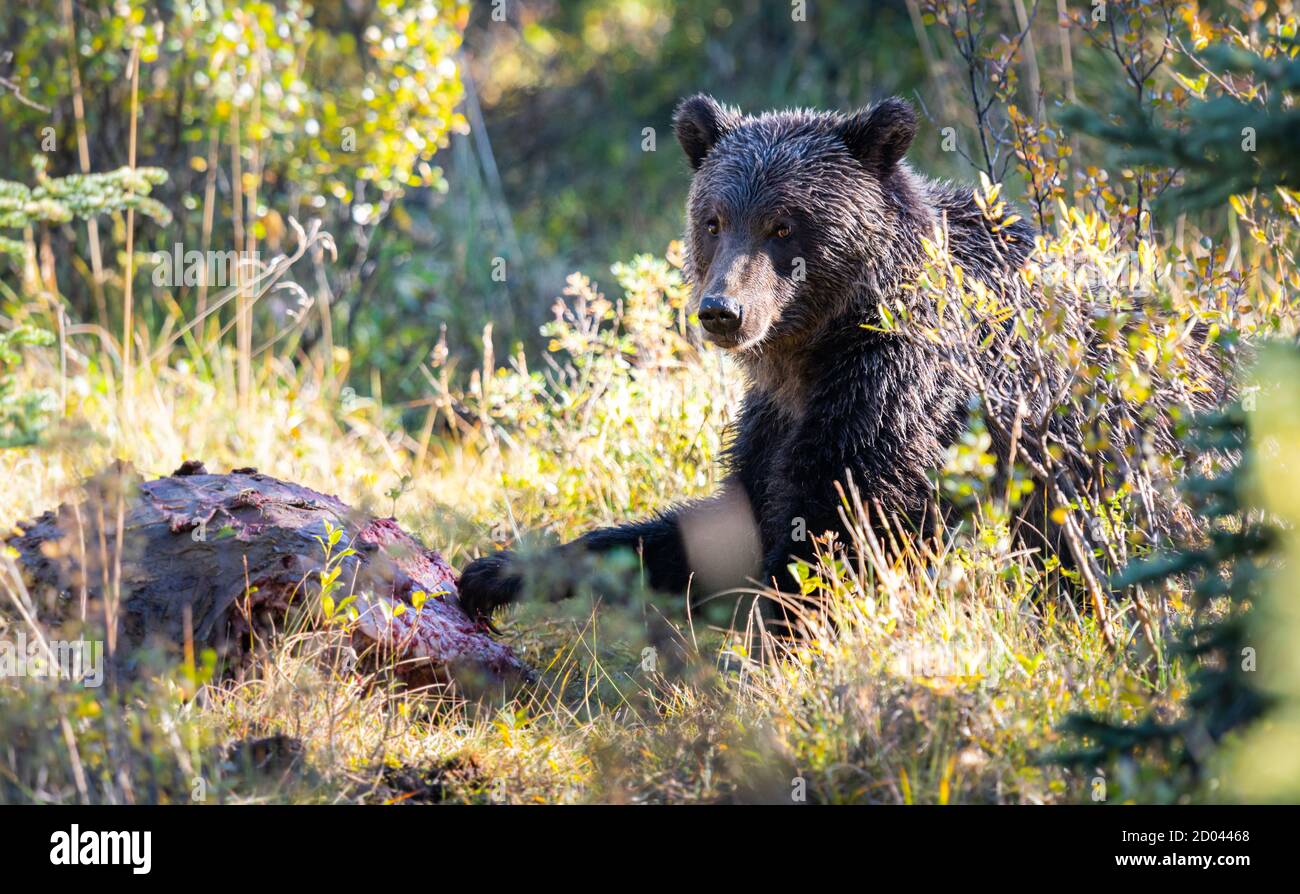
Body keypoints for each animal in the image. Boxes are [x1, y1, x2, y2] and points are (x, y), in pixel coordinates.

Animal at [457, 93, 1217, 628]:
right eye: (713, 219)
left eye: (783, 224)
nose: (722, 311)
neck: (813, 347)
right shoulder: (772, 418)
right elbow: (721, 528)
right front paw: (496, 571)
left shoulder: (900, 394)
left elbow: (832, 535)